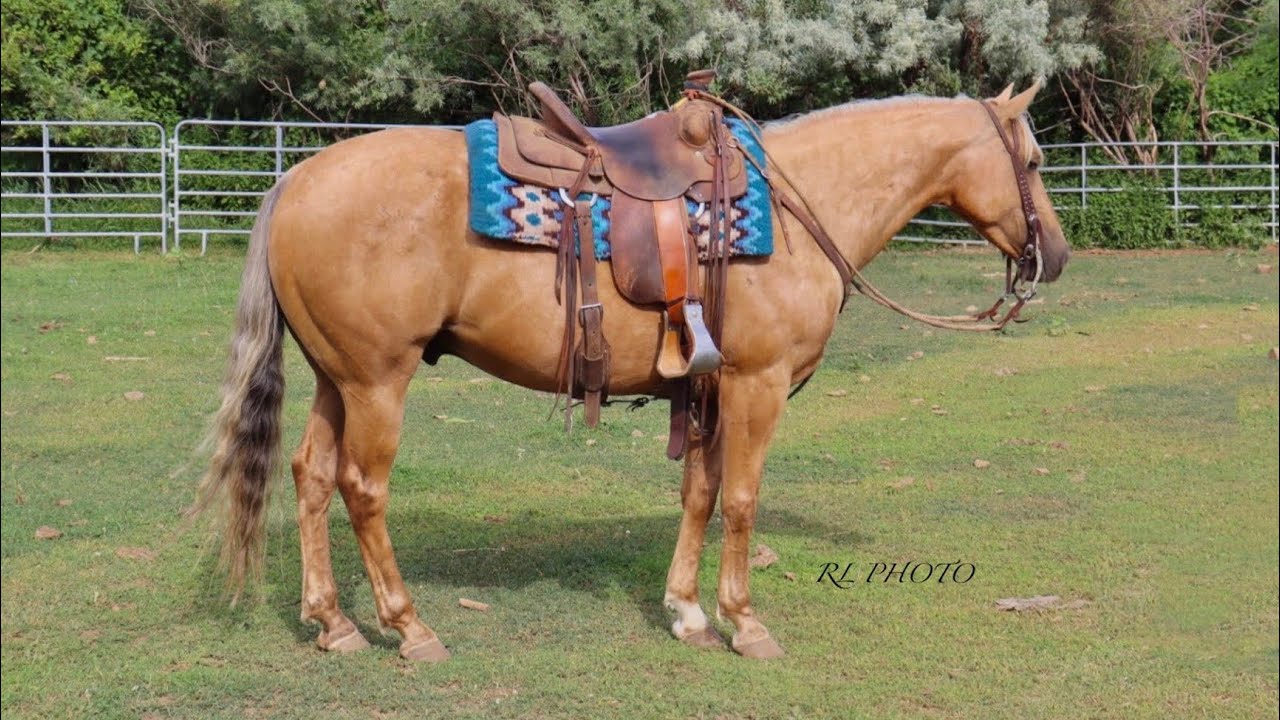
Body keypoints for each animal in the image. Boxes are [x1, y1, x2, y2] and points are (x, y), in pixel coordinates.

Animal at [197, 83, 1068, 662]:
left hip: (337, 377)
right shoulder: (755, 383)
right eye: (1030, 159)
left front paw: (686, 612)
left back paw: (333, 622)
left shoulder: (709, 386)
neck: (798, 211)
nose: (1053, 257)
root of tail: (294, 179)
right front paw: (744, 622)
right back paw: (409, 628)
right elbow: (742, 501)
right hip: (379, 379)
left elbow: (700, 495)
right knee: (362, 487)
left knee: (311, 475)